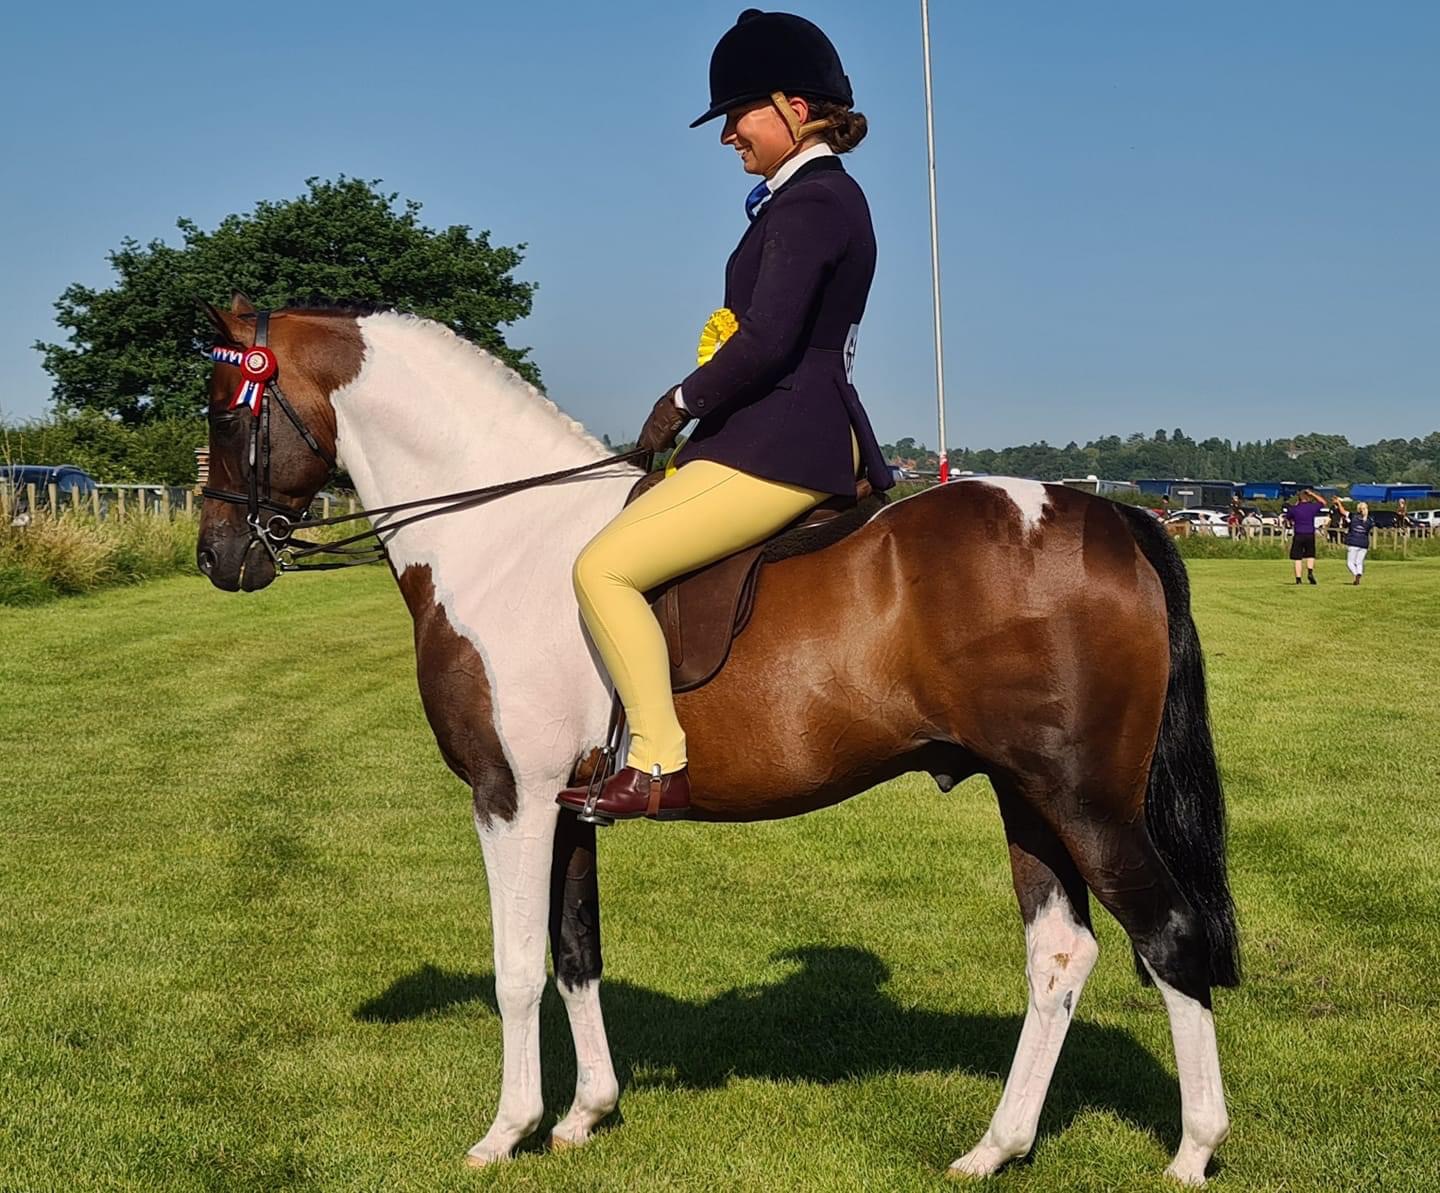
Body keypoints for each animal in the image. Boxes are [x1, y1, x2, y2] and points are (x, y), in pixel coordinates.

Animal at [195, 296, 1239, 1185]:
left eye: (222, 409)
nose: (216, 556)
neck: (503, 536)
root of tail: (1110, 516)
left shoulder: (510, 797)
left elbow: (519, 967)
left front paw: (506, 1131)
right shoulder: (570, 807)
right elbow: (576, 952)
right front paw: (586, 1115)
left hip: (1087, 800)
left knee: (1171, 934)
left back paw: (1193, 1151)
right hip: (1026, 794)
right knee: (1060, 954)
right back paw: (997, 1146)